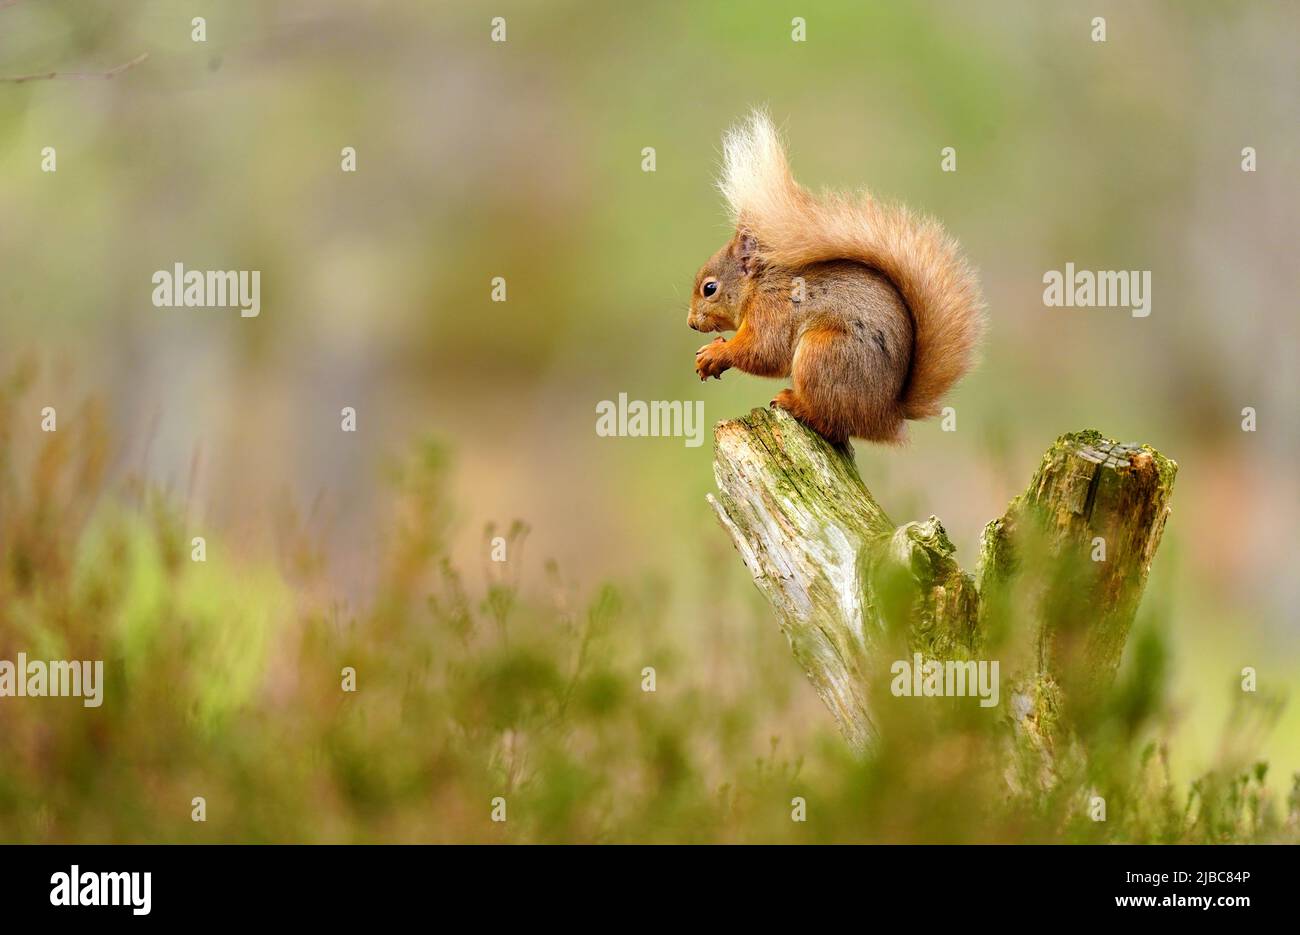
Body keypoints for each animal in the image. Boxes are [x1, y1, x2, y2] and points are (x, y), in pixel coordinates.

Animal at [687, 112, 986, 444]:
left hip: (823, 354)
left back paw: (795, 403)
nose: (691, 322)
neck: (758, 287)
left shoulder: (773, 311)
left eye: (709, 288)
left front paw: (716, 353)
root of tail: (886, 415)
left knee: (831, 422)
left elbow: (764, 351)